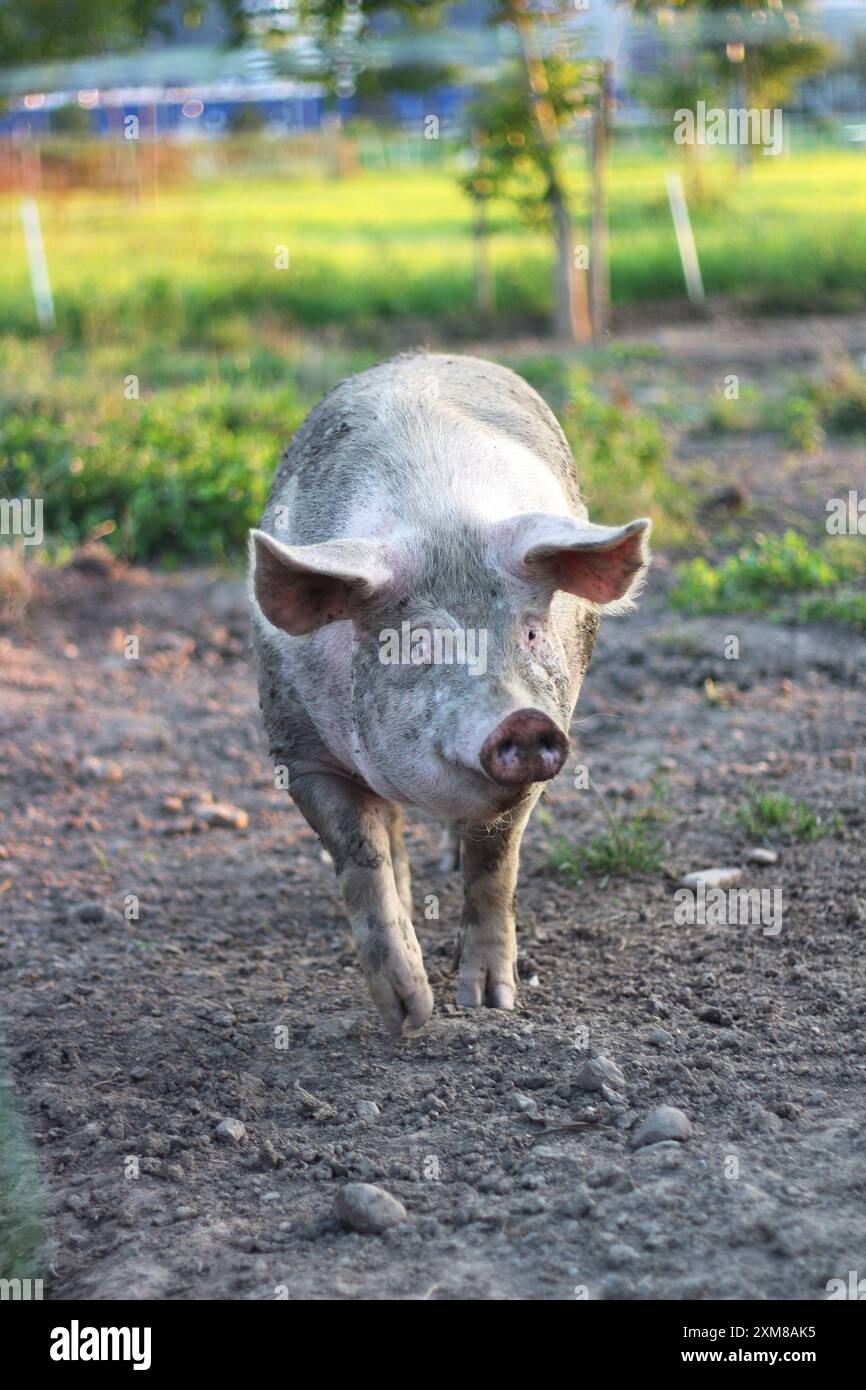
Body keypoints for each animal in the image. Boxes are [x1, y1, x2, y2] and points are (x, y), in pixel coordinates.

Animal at [250, 353, 650, 1036]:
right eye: (416, 644)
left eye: (532, 631)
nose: (522, 720)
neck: (442, 523)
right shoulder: (297, 752)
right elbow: (361, 861)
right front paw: (409, 1016)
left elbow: (495, 866)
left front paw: (489, 1002)